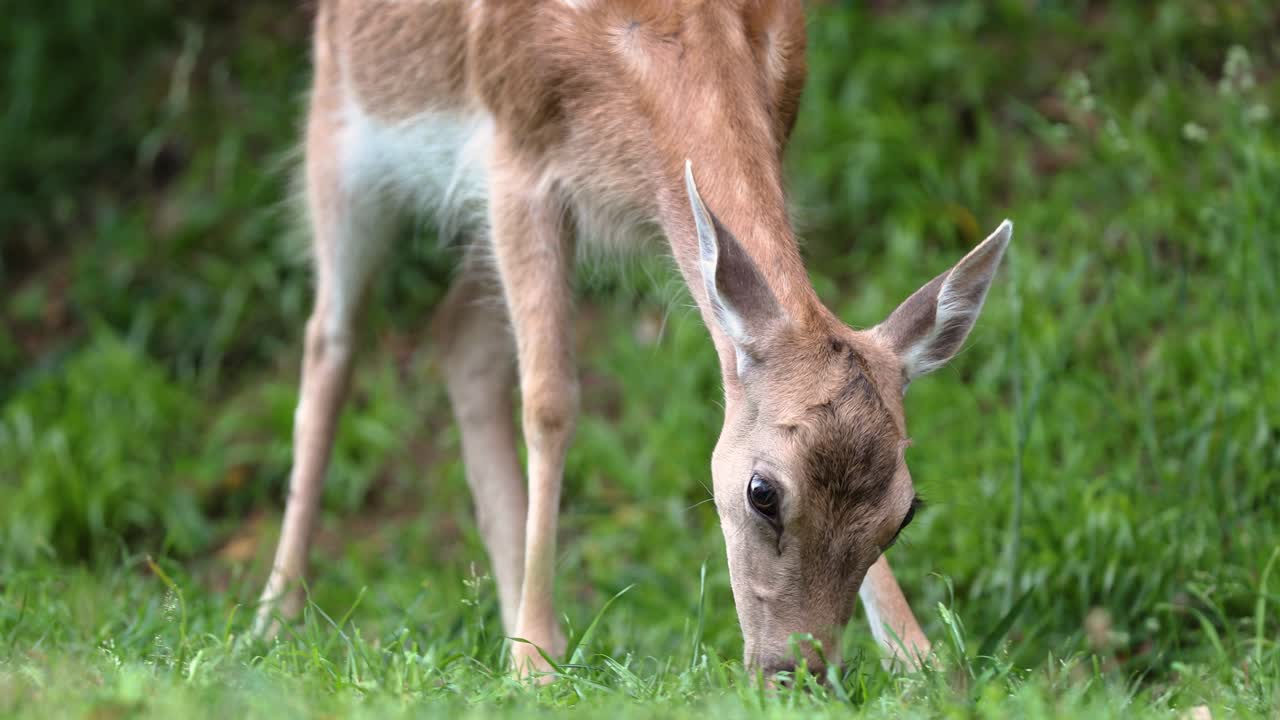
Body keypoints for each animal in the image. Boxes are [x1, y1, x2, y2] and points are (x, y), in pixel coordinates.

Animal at [252, 0, 1013, 681]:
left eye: (904, 512)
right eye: (762, 493)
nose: (797, 671)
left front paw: (922, 660)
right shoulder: (517, 158)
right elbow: (551, 403)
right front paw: (536, 663)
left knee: (458, 337)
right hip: (343, 132)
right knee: (331, 339)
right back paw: (275, 616)